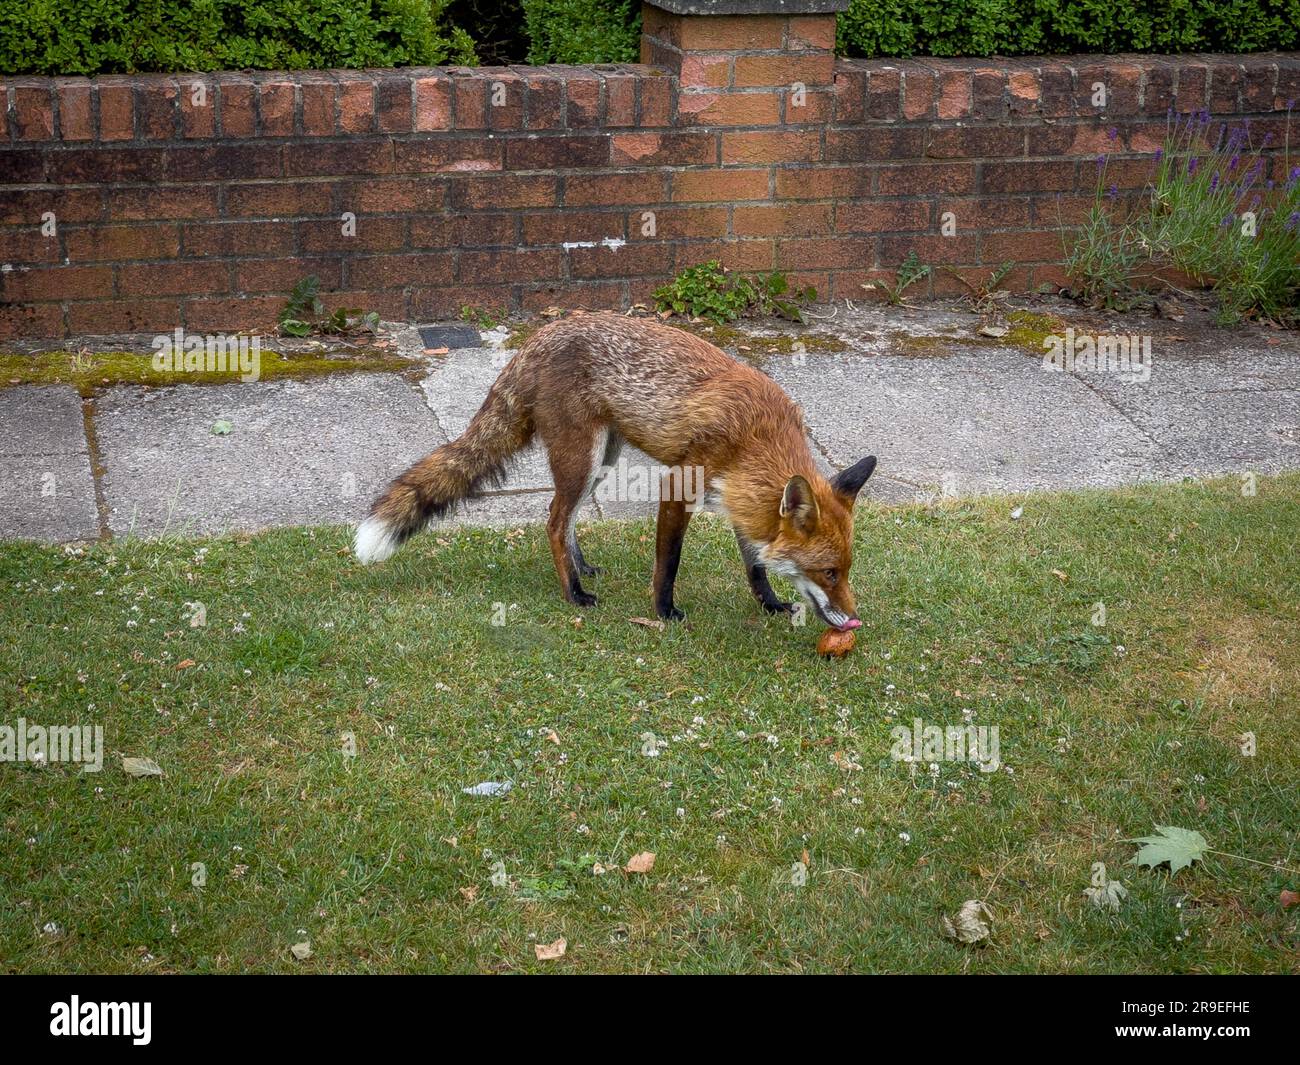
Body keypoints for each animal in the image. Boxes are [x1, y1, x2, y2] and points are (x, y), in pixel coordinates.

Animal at [354, 312, 876, 632]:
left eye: (847, 570)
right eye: (829, 573)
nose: (854, 620)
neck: (758, 436)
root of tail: (537, 338)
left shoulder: (742, 501)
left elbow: (755, 563)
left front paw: (768, 603)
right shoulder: (679, 484)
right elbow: (669, 562)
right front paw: (664, 611)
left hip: (601, 460)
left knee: (564, 517)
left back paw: (581, 567)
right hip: (582, 458)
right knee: (552, 519)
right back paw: (574, 592)